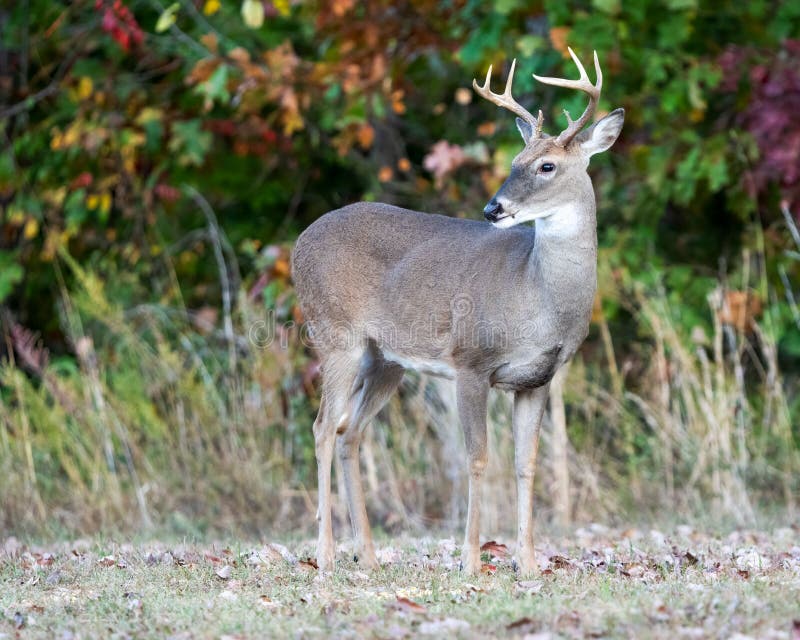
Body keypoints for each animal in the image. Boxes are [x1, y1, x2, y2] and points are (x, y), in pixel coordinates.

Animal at [291, 47, 624, 575]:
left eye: (547, 166)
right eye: (516, 161)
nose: (493, 208)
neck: (537, 297)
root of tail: (299, 243)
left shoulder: (538, 379)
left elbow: (527, 463)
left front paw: (529, 563)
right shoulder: (472, 362)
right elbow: (478, 458)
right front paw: (471, 560)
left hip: (385, 359)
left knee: (349, 433)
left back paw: (368, 556)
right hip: (334, 332)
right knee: (323, 428)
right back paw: (325, 555)